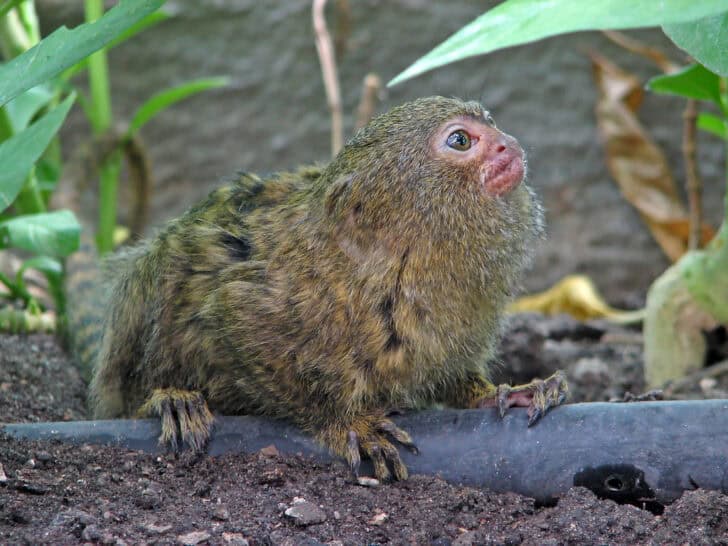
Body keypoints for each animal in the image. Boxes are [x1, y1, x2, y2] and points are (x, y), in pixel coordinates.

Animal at [67, 96, 567, 483]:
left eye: (491, 122)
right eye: (460, 140)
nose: (507, 142)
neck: (405, 259)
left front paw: (503, 392)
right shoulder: (281, 296)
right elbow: (232, 316)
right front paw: (347, 423)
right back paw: (171, 398)